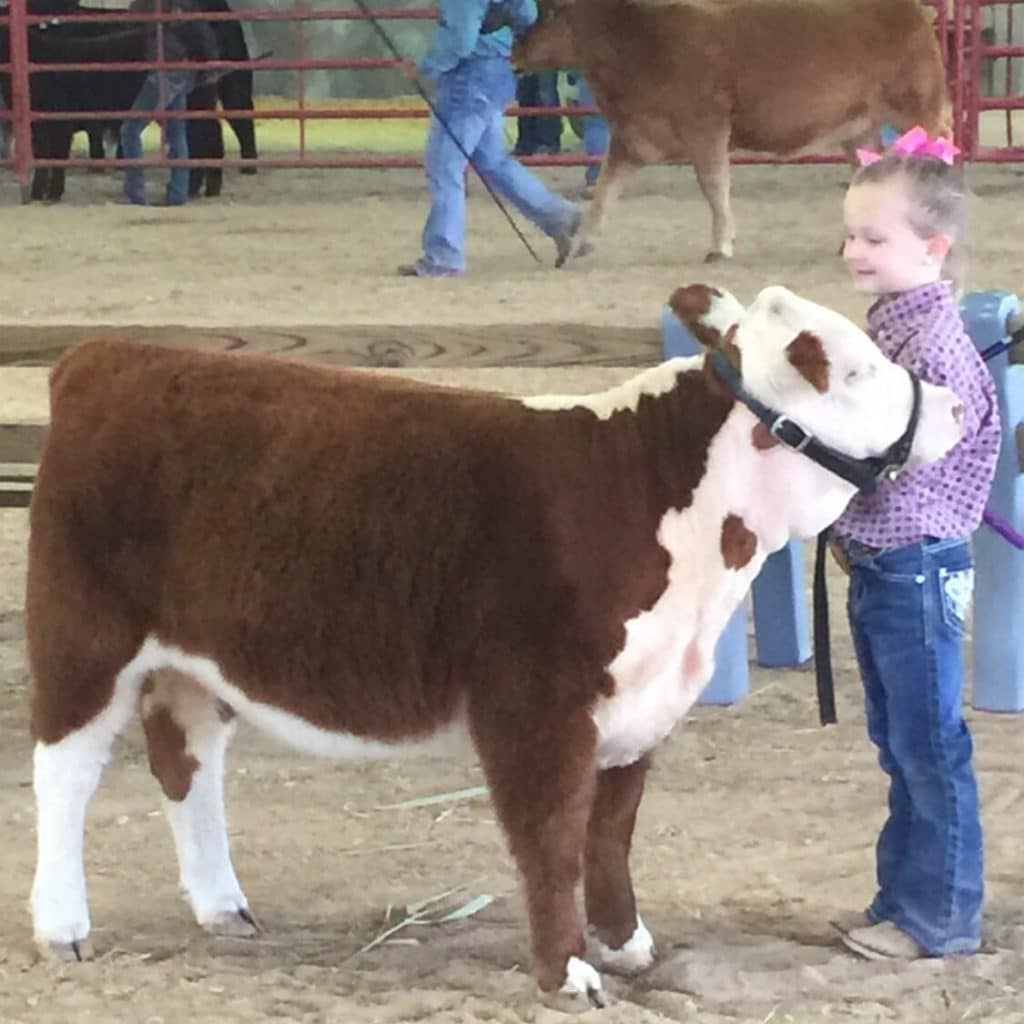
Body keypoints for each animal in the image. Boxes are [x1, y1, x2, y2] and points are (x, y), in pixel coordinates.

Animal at [27, 284, 964, 1005]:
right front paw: (570, 973)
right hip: (82, 635)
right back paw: (62, 924)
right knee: (64, 771)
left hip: (192, 658)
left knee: (186, 762)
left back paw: (223, 906)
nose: (957, 405)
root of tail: (102, 357)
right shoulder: (537, 705)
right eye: (856, 368)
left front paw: (626, 943)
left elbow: (611, 831)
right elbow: (551, 837)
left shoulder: (640, 700)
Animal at [513, 0, 949, 264]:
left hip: (916, 106)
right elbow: (605, 191)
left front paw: (720, 244)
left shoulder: (706, 126)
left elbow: (713, 185)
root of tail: (908, 10)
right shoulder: (634, 136)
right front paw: (578, 246)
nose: (515, 50)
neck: (642, 43)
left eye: (549, 12)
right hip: (858, 128)